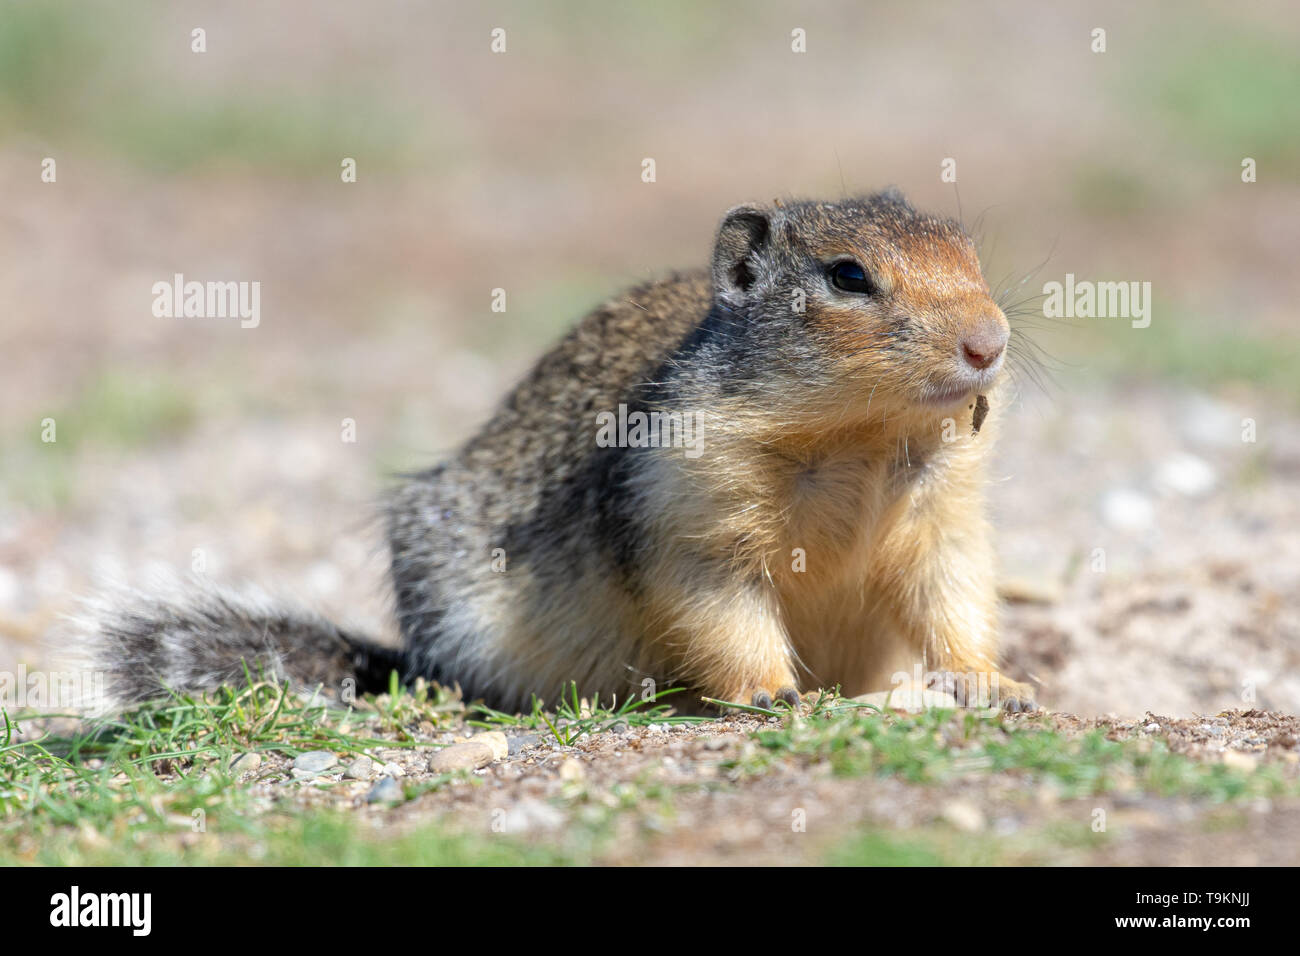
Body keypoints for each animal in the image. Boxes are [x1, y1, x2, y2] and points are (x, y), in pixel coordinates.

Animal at [83, 191, 1037, 715]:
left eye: (969, 250)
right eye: (847, 276)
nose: (989, 341)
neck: (857, 438)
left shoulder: (946, 514)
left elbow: (954, 597)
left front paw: (997, 683)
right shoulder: (685, 507)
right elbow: (719, 611)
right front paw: (770, 692)